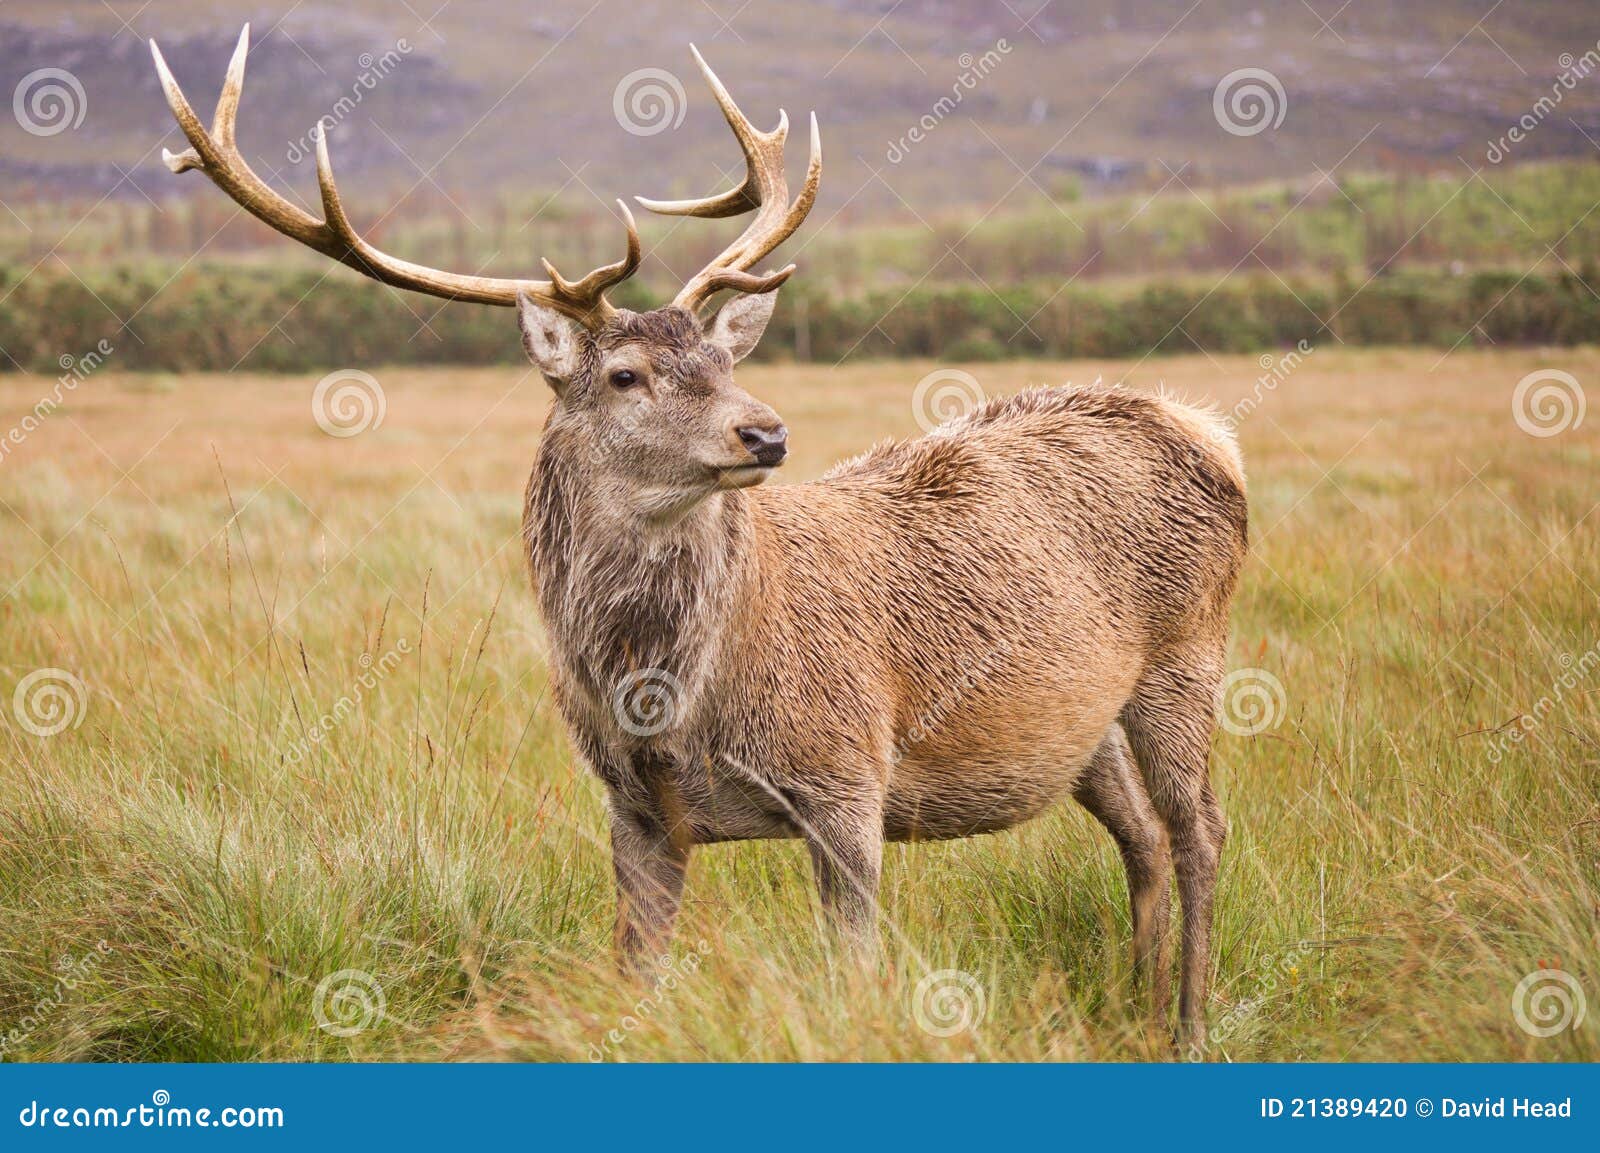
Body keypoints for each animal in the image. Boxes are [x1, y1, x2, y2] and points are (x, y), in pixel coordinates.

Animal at [151, 27, 1248, 1044]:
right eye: (625, 373)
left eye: (724, 362)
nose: (766, 431)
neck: (674, 698)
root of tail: (1205, 429)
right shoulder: (635, 809)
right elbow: (635, 976)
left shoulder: (847, 775)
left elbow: (853, 973)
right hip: (1084, 725)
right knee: (1142, 838)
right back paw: (1138, 1012)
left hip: (1187, 651)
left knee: (1199, 828)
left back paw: (1191, 1025)